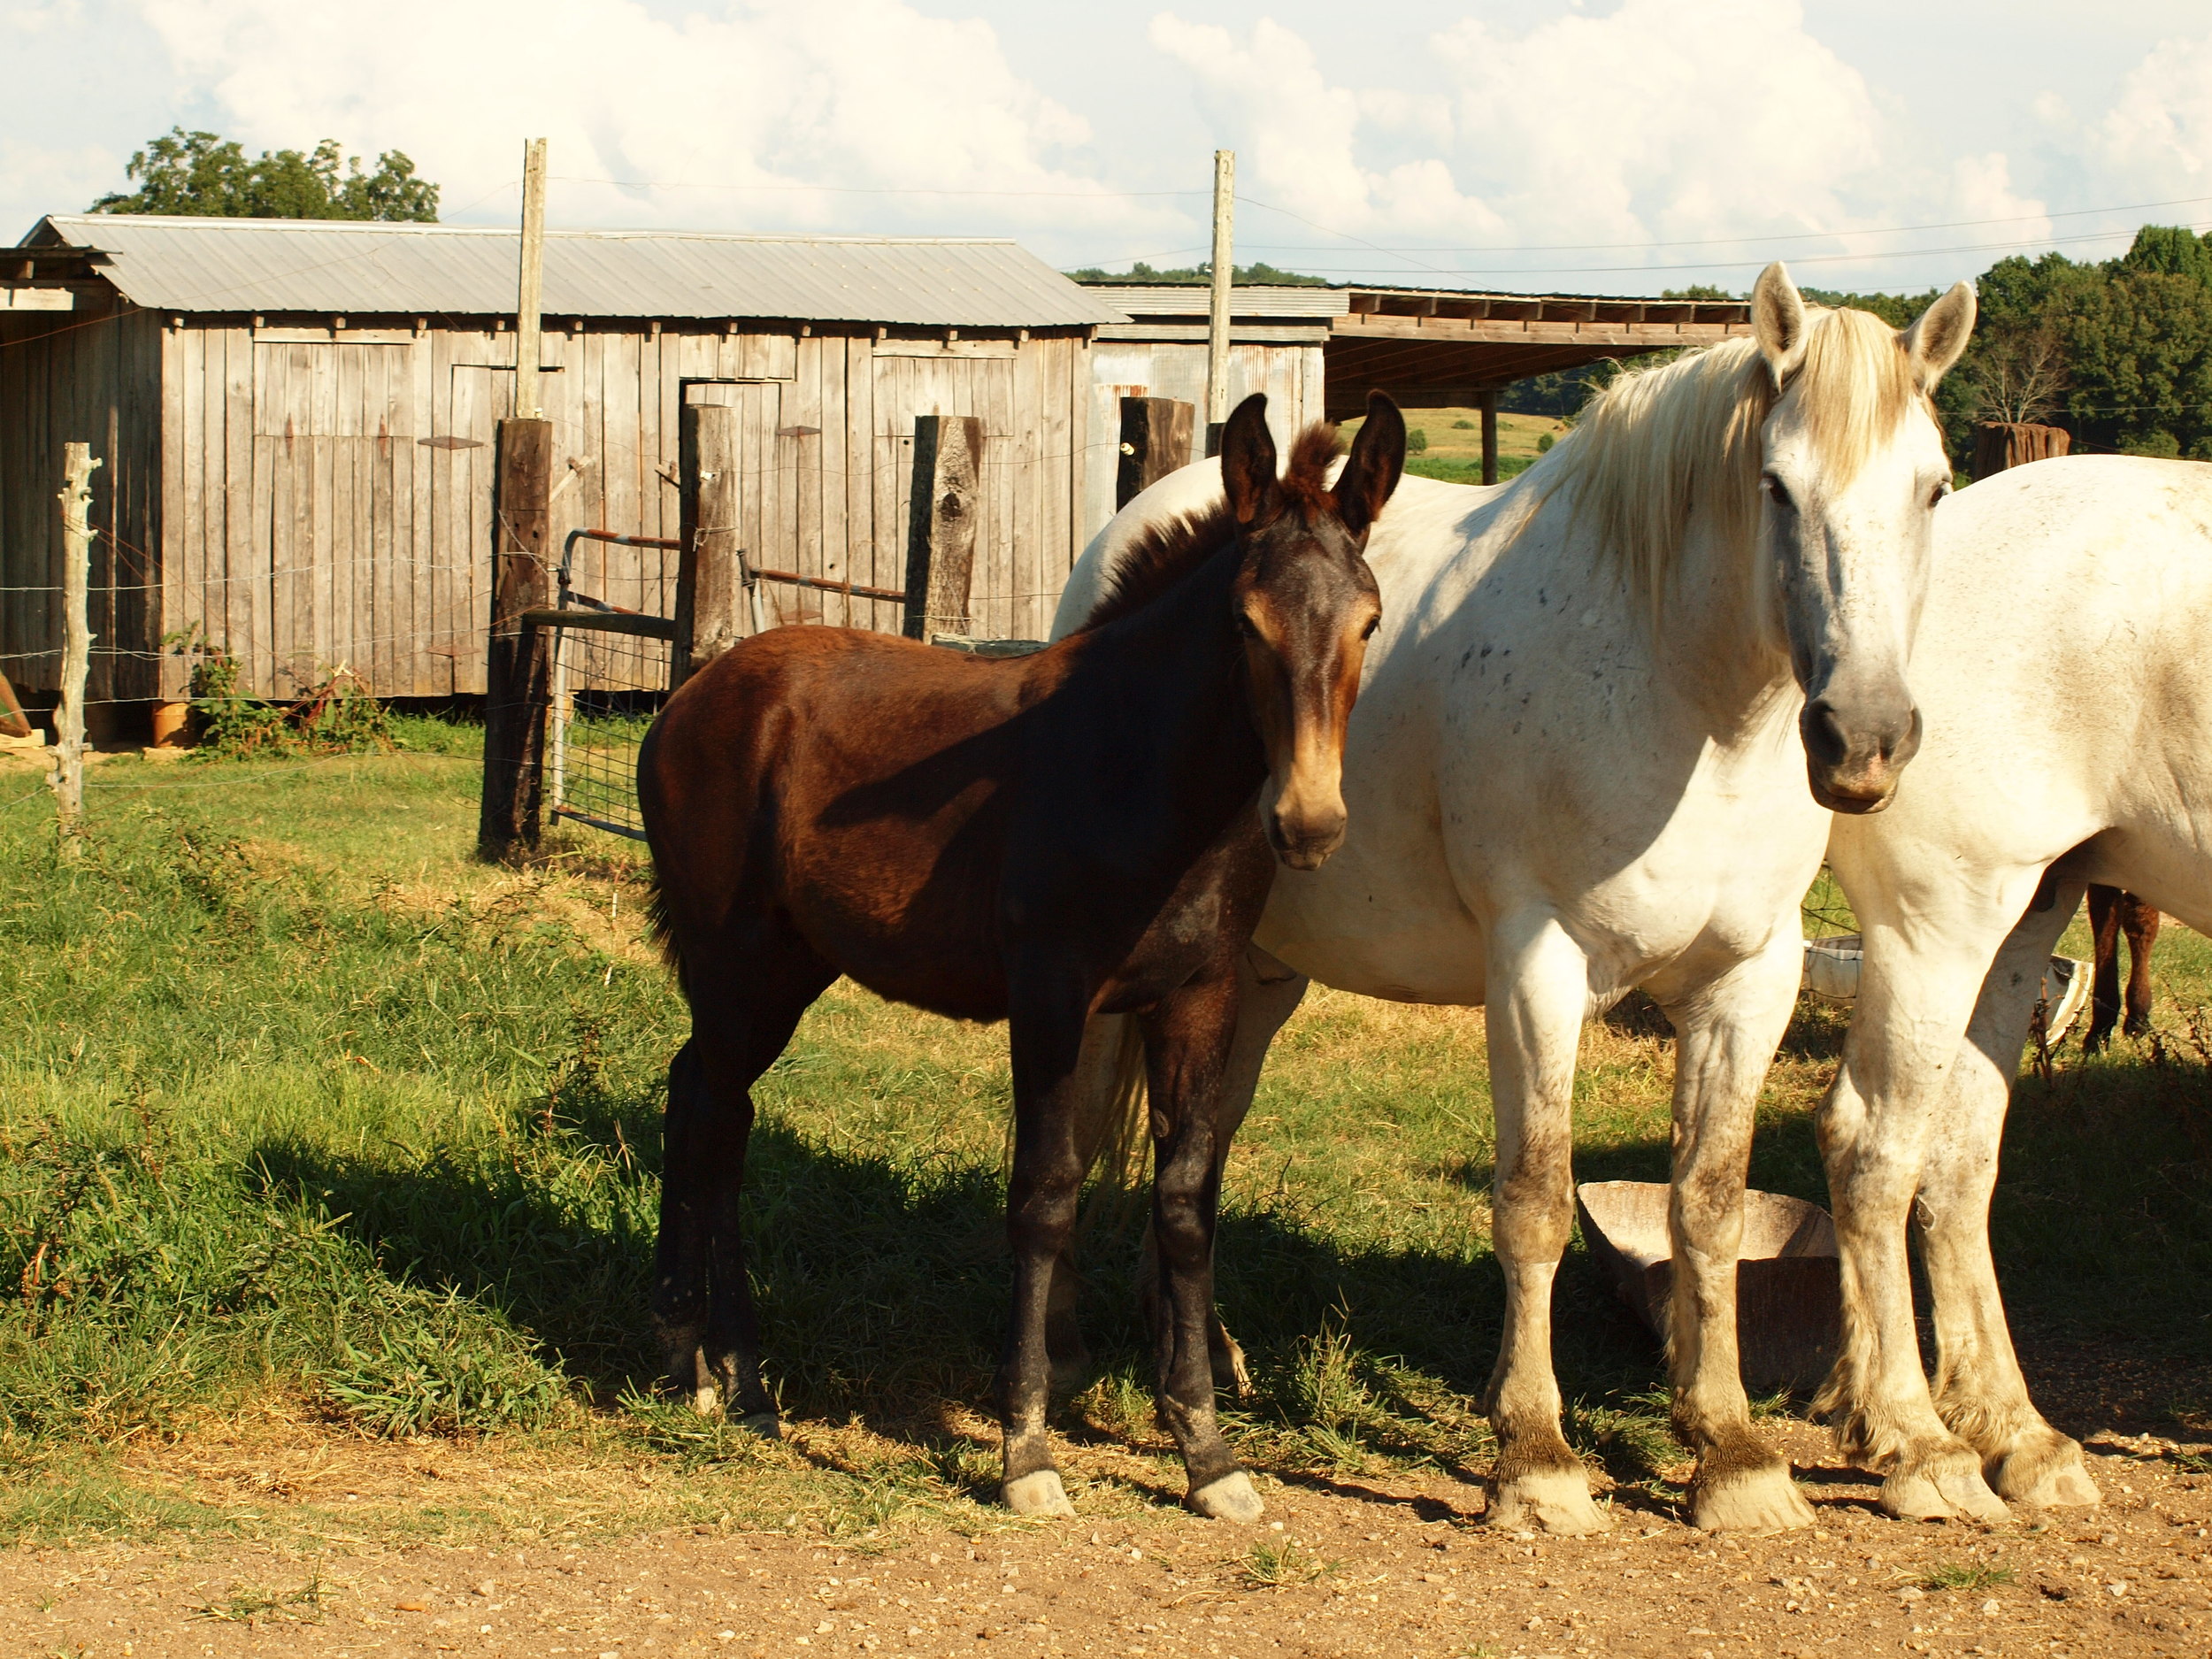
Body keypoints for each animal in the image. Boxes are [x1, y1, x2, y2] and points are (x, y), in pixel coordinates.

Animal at [636, 392, 1405, 1522]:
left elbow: (1186, 1206)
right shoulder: (1051, 996)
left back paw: (689, 1355)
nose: (1308, 825)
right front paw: (1026, 1449)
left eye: (1368, 622)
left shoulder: (1200, 995)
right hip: (739, 964)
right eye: (1243, 622)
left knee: (697, 1099)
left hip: (785, 964)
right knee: (716, 1118)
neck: (1139, 773)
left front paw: (1208, 1453)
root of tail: (689, 699)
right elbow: (1043, 1195)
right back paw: (734, 1375)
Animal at [1050, 263, 1976, 1535]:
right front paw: (1535, 1456)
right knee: (1093, 1128)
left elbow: (1709, 1205)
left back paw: (1202, 1357)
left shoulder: (1749, 981)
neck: (1687, 701)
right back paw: (1073, 1360)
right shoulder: (1539, 966)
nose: (1865, 738)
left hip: (1262, 970)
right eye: (1777, 488)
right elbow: (1534, 1195)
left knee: (1202, 1138)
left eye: (1933, 487)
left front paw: (1730, 1450)